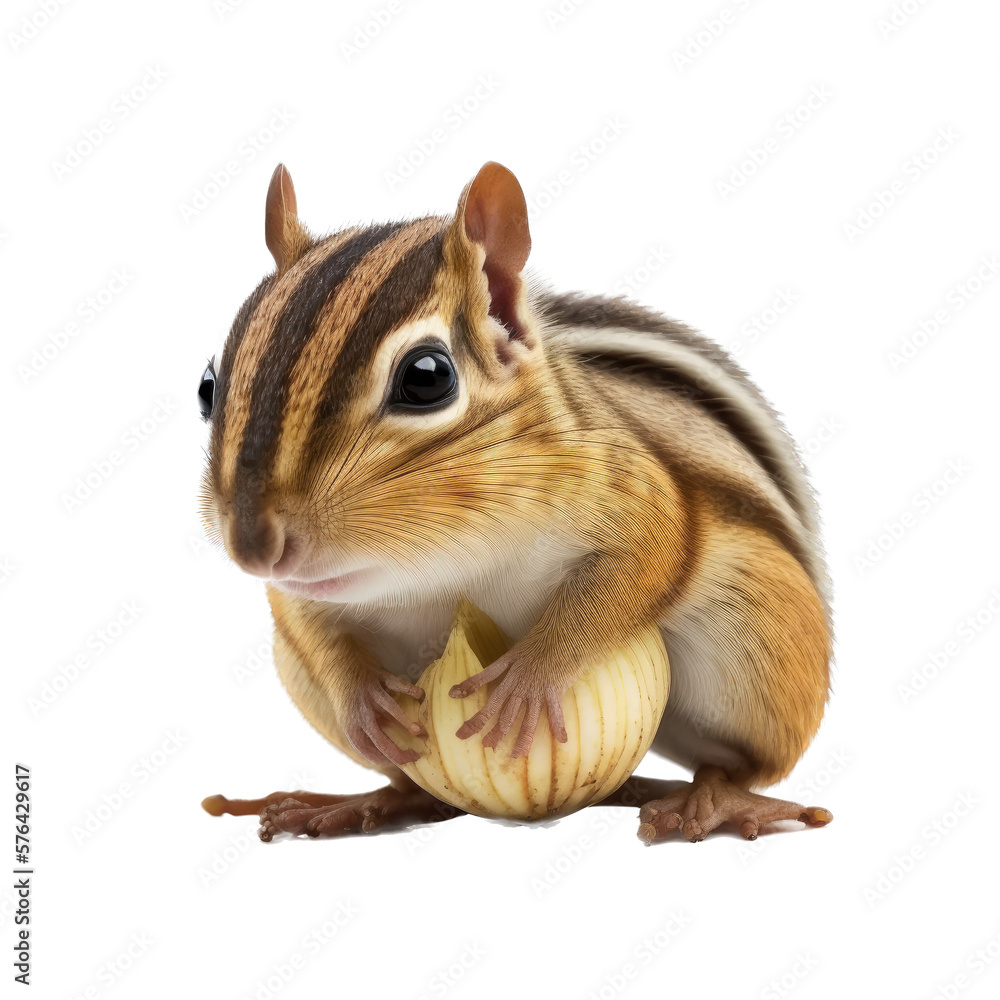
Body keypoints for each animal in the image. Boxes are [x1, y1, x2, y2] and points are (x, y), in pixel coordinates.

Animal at [198, 161, 833, 843]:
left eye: (426, 377)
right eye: (208, 386)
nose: (253, 545)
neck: (446, 554)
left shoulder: (631, 489)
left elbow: (647, 557)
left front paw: (529, 681)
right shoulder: (299, 600)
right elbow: (306, 621)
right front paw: (363, 702)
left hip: (754, 639)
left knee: (738, 767)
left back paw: (711, 802)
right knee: (413, 785)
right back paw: (359, 802)